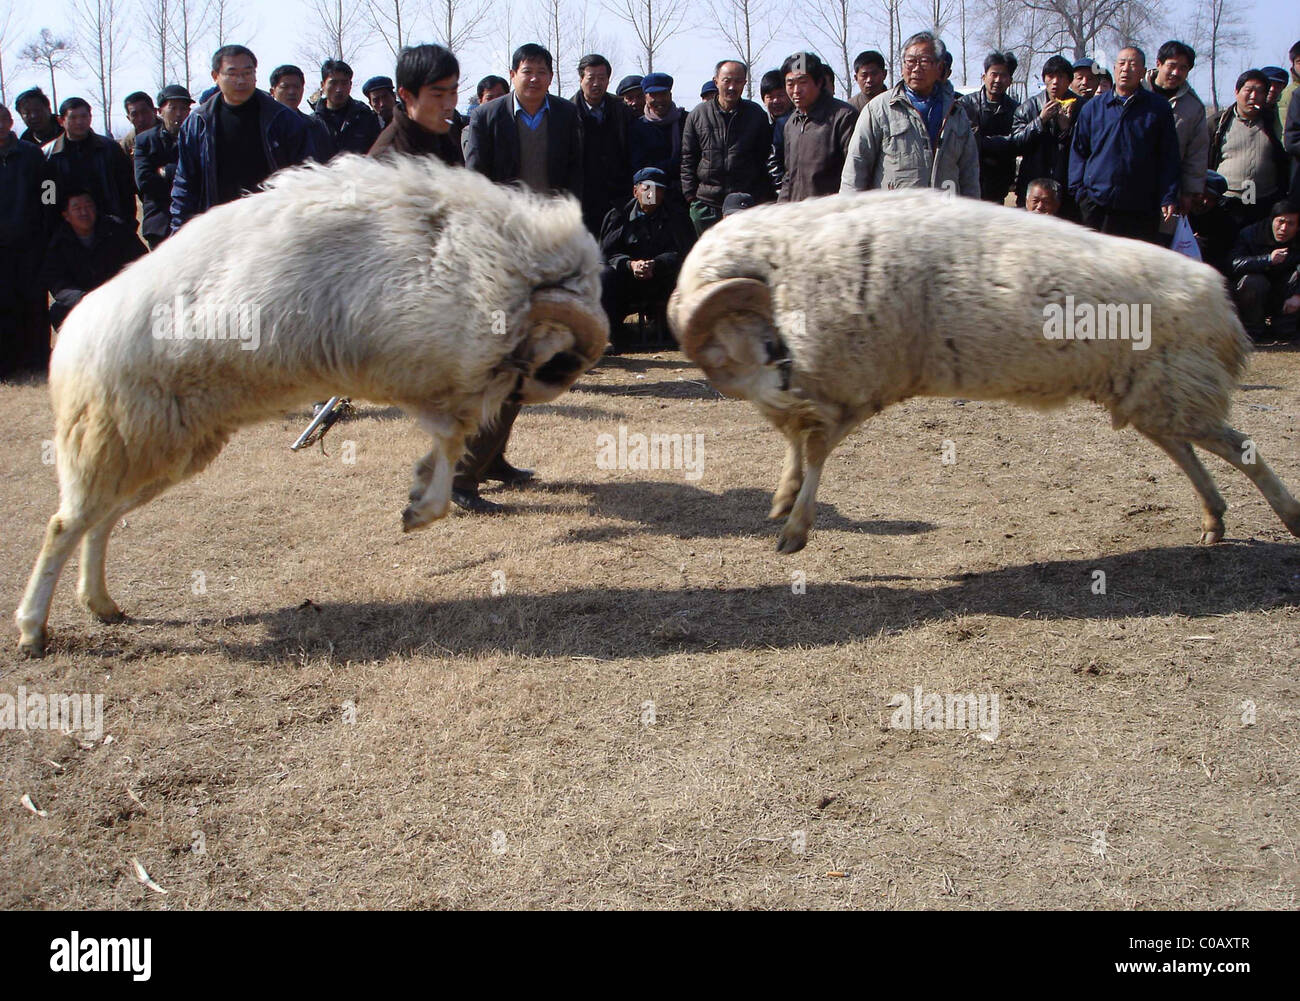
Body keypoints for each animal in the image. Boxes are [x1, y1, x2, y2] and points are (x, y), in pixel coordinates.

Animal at [16, 154, 608, 657]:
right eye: (550, 361)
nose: (527, 393)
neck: (489, 264)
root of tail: (75, 335)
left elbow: (448, 444)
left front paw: (419, 502)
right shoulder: (421, 369)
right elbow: (451, 435)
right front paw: (422, 504)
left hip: (167, 446)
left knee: (100, 521)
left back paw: (101, 605)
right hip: (122, 437)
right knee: (65, 524)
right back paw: (32, 631)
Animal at [668, 189, 1300, 554]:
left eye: (734, 345)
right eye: (720, 359)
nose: (782, 380)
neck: (785, 279)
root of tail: (1219, 298)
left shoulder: (850, 387)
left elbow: (816, 448)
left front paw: (795, 529)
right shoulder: (833, 392)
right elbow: (800, 443)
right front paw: (784, 496)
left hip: (1176, 389)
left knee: (1240, 446)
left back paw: (1288, 518)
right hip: (1153, 396)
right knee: (1186, 448)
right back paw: (1214, 520)